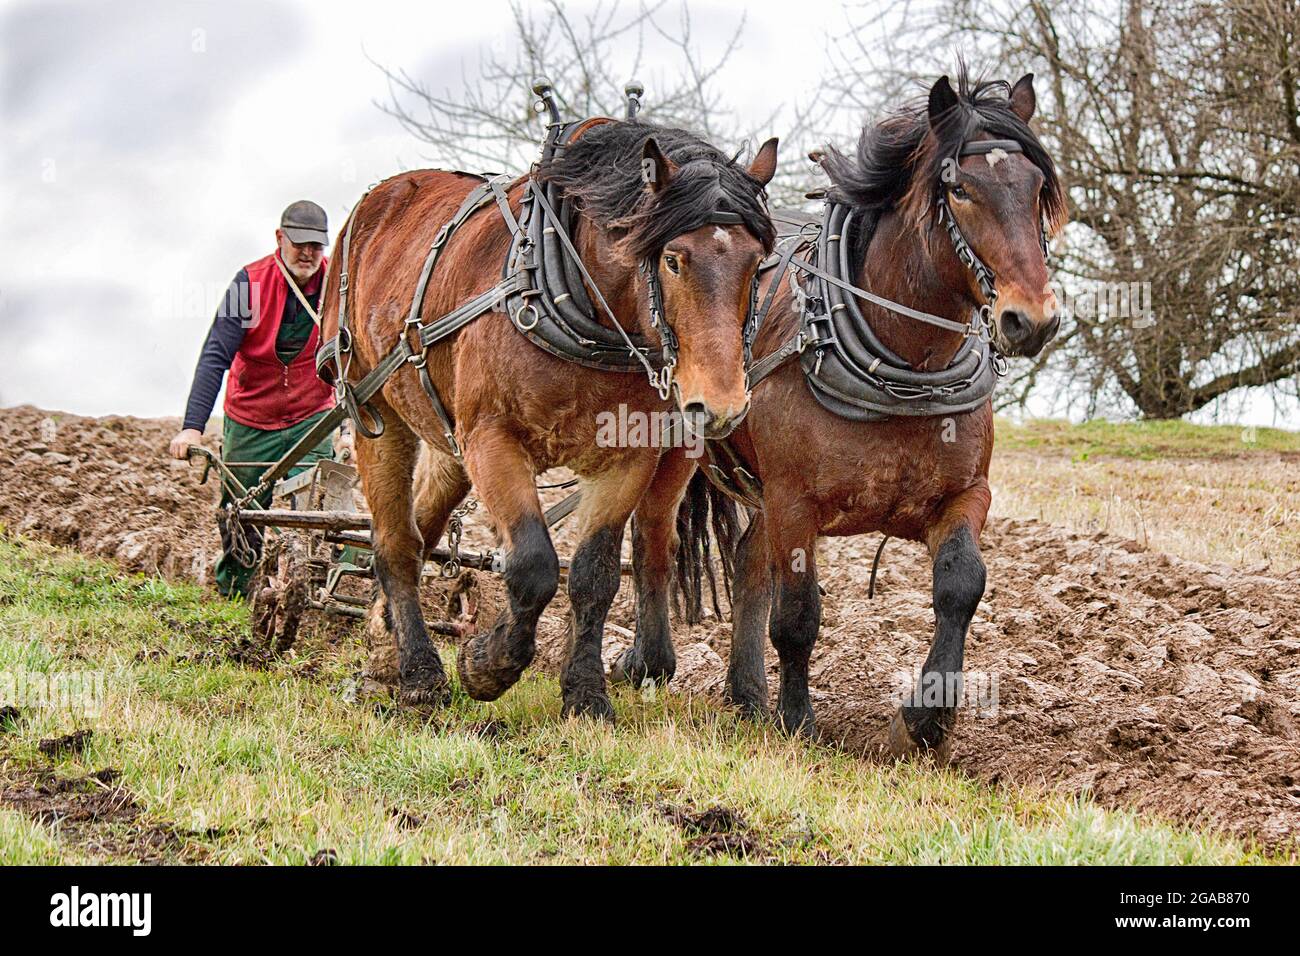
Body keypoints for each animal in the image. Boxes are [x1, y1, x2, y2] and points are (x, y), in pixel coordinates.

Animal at [317, 115, 779, 719]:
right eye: (674, 259)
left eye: (756, 264)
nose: (722, 406)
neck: (570, 295)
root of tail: (378, 199)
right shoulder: (492, 439)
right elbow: (534, 566)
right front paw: (484, 666)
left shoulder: (626, 458)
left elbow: (593, 575)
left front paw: (585, 695)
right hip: (376, 409)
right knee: (395, 541)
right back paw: (419, 671)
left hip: (447, 437)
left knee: (424, 525)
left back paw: (381, 632)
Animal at [615, 71, 1067, 758]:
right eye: (960, 189)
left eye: (1038, 188)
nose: (1032, 319)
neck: (904, 371)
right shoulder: (796, 502)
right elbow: (798, 616)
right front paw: (800, 723)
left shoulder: (966, 493)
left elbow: (962, 583)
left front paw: (923, 721)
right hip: (678, 445)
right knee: (654, 535)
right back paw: (648, 662)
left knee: (747, 560)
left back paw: (747, 695)